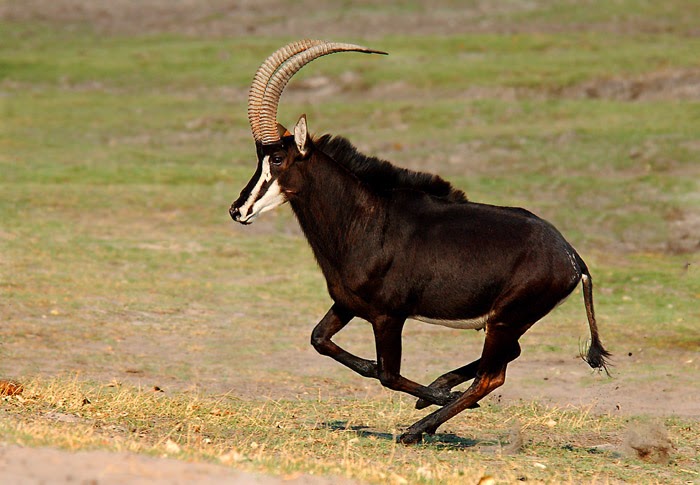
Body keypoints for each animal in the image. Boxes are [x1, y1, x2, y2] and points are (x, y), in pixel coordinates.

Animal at [229, 40, 610, 444]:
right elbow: (320, 340)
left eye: (278, 158)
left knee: (492, 375)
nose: (238, 210)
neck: (365, 217)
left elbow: (388, 374)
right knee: (508, 356)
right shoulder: (347, 304)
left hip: (506, 320)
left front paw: (434, 397)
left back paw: (419, 425)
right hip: (507, 323)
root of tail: (572, 258)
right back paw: (439, 390)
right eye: (260, 157)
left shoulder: (388, 315)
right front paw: (431, 390)